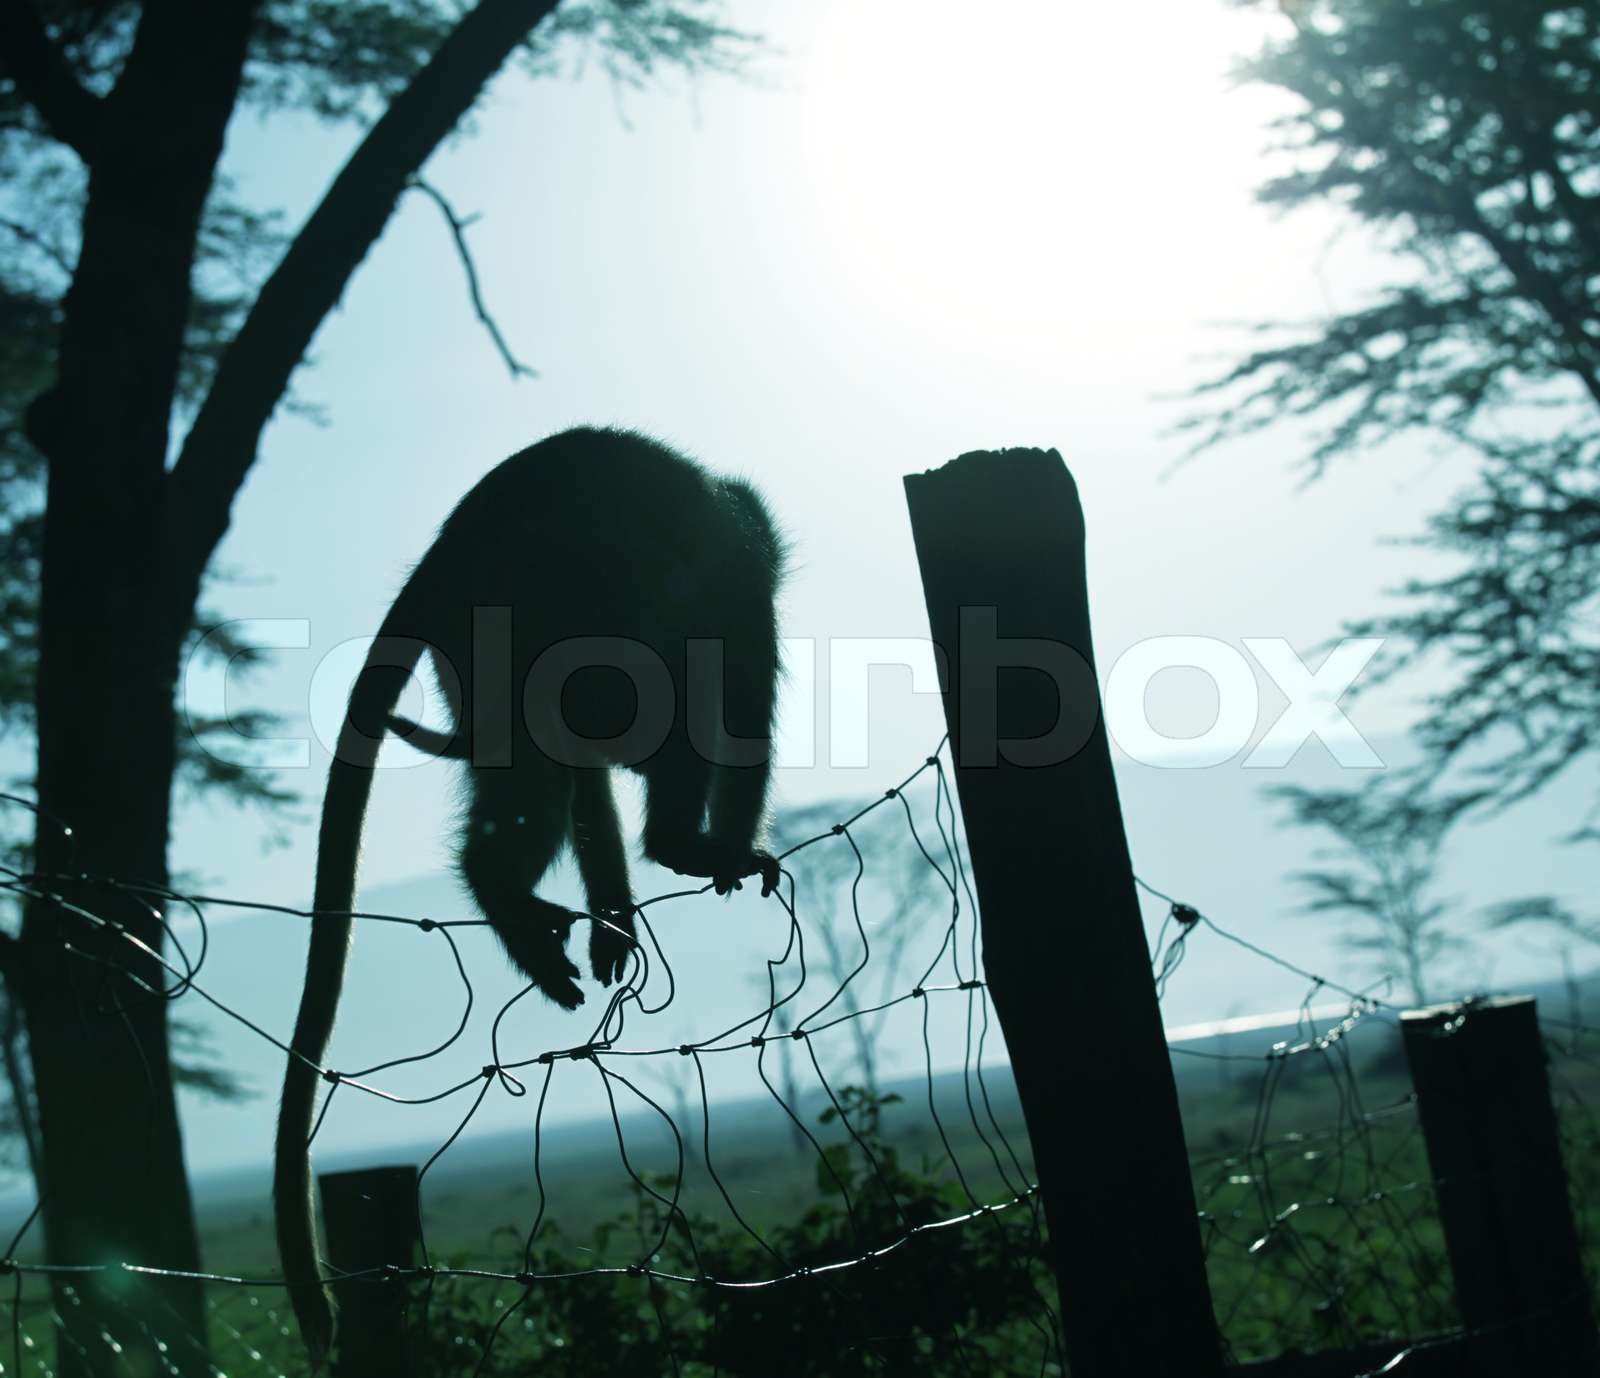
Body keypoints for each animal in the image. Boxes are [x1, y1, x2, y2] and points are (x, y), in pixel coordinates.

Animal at [274, 428, 784, 1364]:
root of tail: (446, 549)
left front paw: (618, 918)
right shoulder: (732, 596)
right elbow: (730, 716)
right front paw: (711, 849)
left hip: (481, 643)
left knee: (546, 749)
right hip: (518, 612)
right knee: (577, 736)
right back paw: (524, 878)